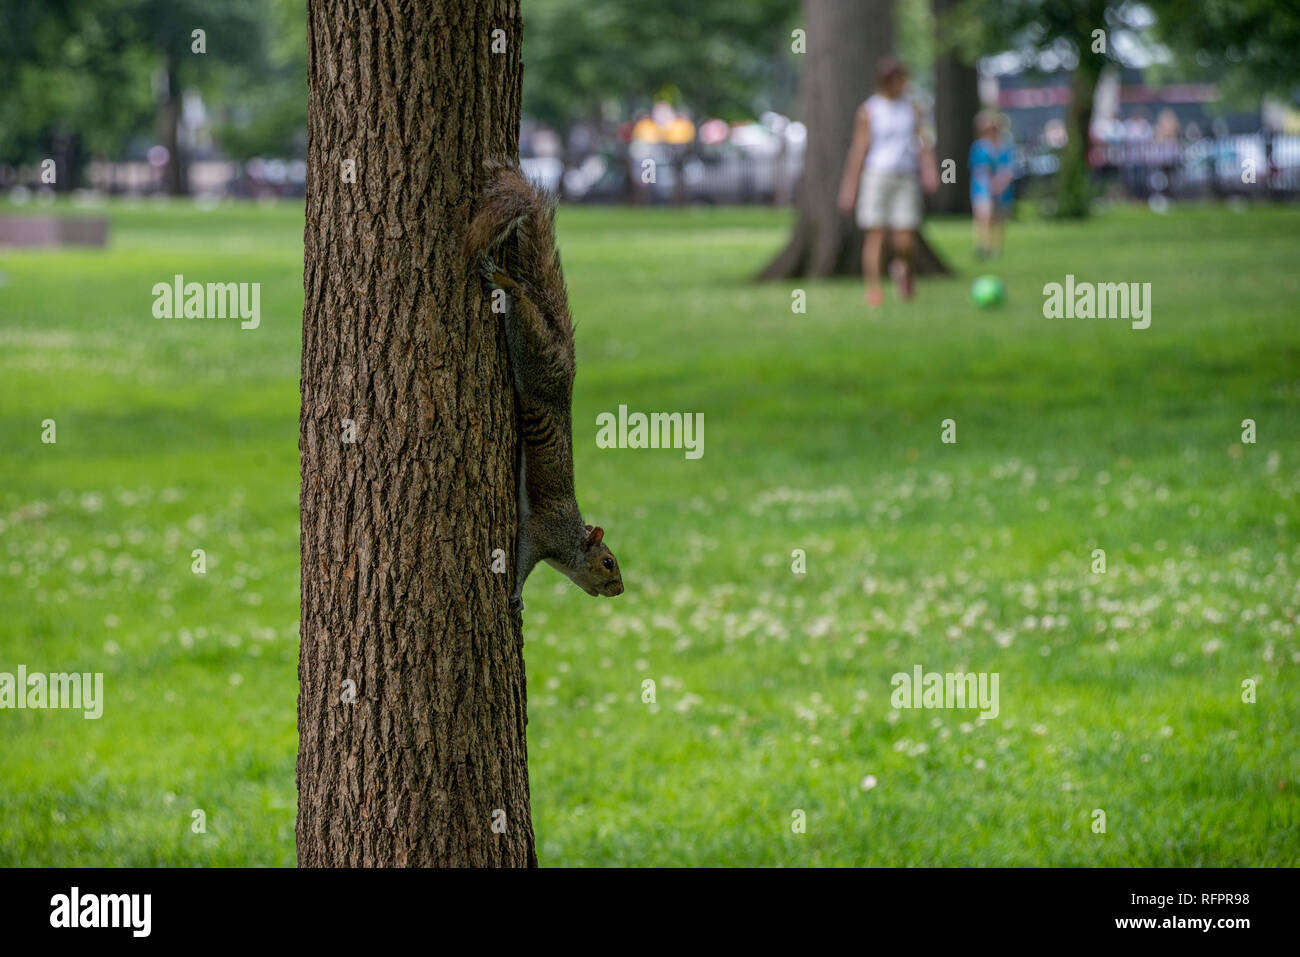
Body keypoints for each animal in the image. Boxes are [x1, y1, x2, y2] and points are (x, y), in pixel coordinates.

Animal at [466, 159, 624, 612]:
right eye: (608, 562)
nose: (620, 589)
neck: (570, 538)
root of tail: (565, 362)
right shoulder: (540, 532)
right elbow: (520, 560)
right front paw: (517, 595)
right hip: (529, 352)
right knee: (519, 298)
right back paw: (500, 280)